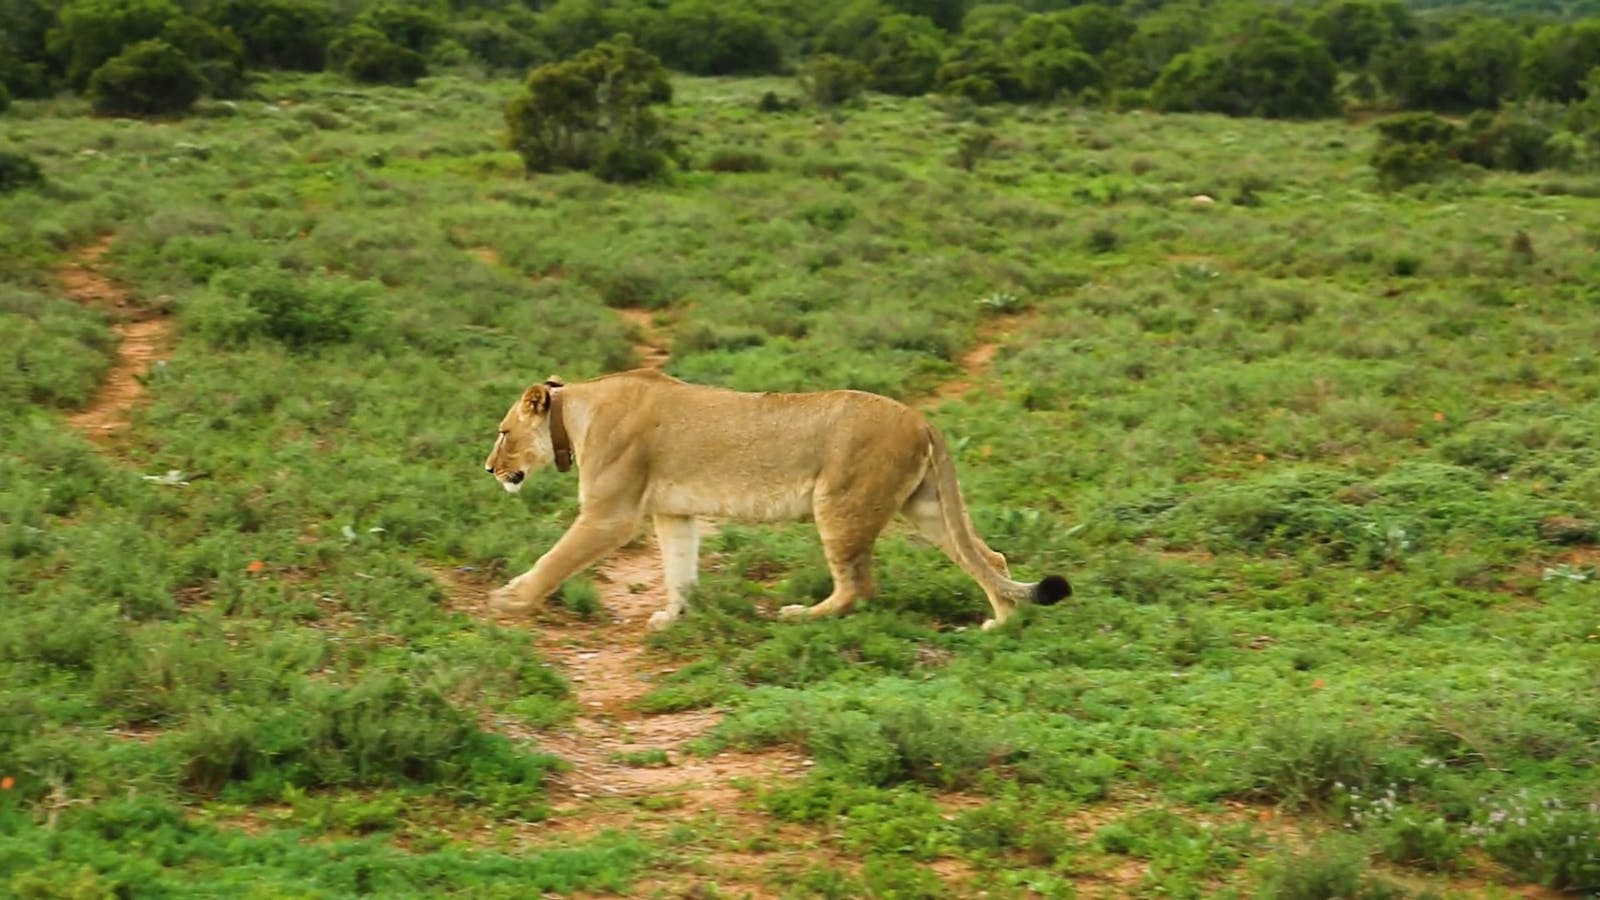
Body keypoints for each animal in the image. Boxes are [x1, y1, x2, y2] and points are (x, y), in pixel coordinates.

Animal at [483, 369, 1071, 631]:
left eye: (503, 432)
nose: (489, 468)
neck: (575, 413)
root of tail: (920, 418)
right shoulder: (673, 511)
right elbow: (679, 568)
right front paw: (673, 617)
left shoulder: (611, 514)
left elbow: (555, 559)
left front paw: (509, 599)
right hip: (925, 506)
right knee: (989, 556)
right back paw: (1002, 622)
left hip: (840, 502)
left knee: (858, 587)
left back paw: (798, 615)